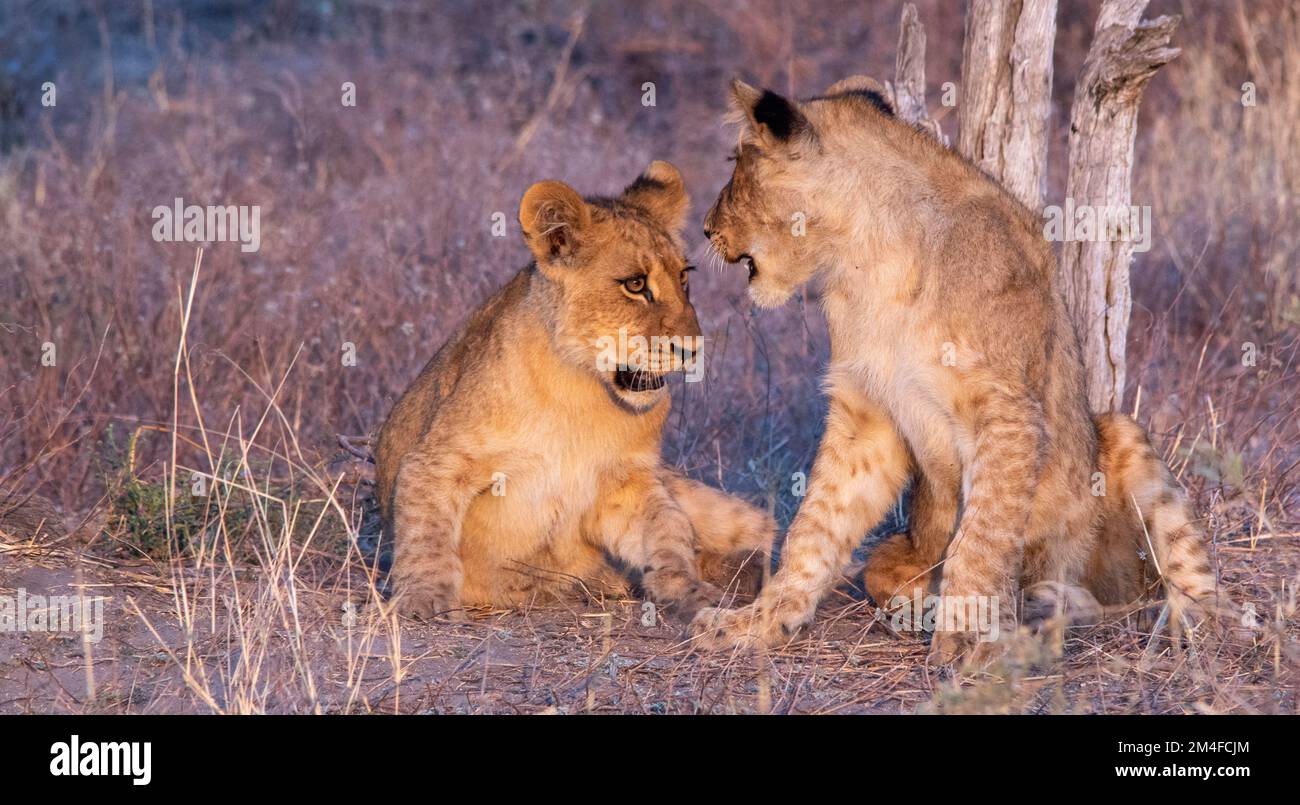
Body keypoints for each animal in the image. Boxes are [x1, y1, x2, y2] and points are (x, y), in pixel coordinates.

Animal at [374, 160, 773, 622]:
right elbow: (425, 532)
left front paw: (687, 589)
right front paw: (422, 598)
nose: (692, 349)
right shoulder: (437, 460)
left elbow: (666, 531)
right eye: (634, 284)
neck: (581, 391)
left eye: (683, 278)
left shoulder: (625, 482)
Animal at [689, 77, 1224, 665]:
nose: (706, 229)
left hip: (1120, 437)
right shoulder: (865, 415)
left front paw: (968, 638)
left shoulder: (1007, 412)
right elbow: (815, 524)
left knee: (1180, 583)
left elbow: (982, 535)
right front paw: (758, 623)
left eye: (737, 165)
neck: (871, 255)